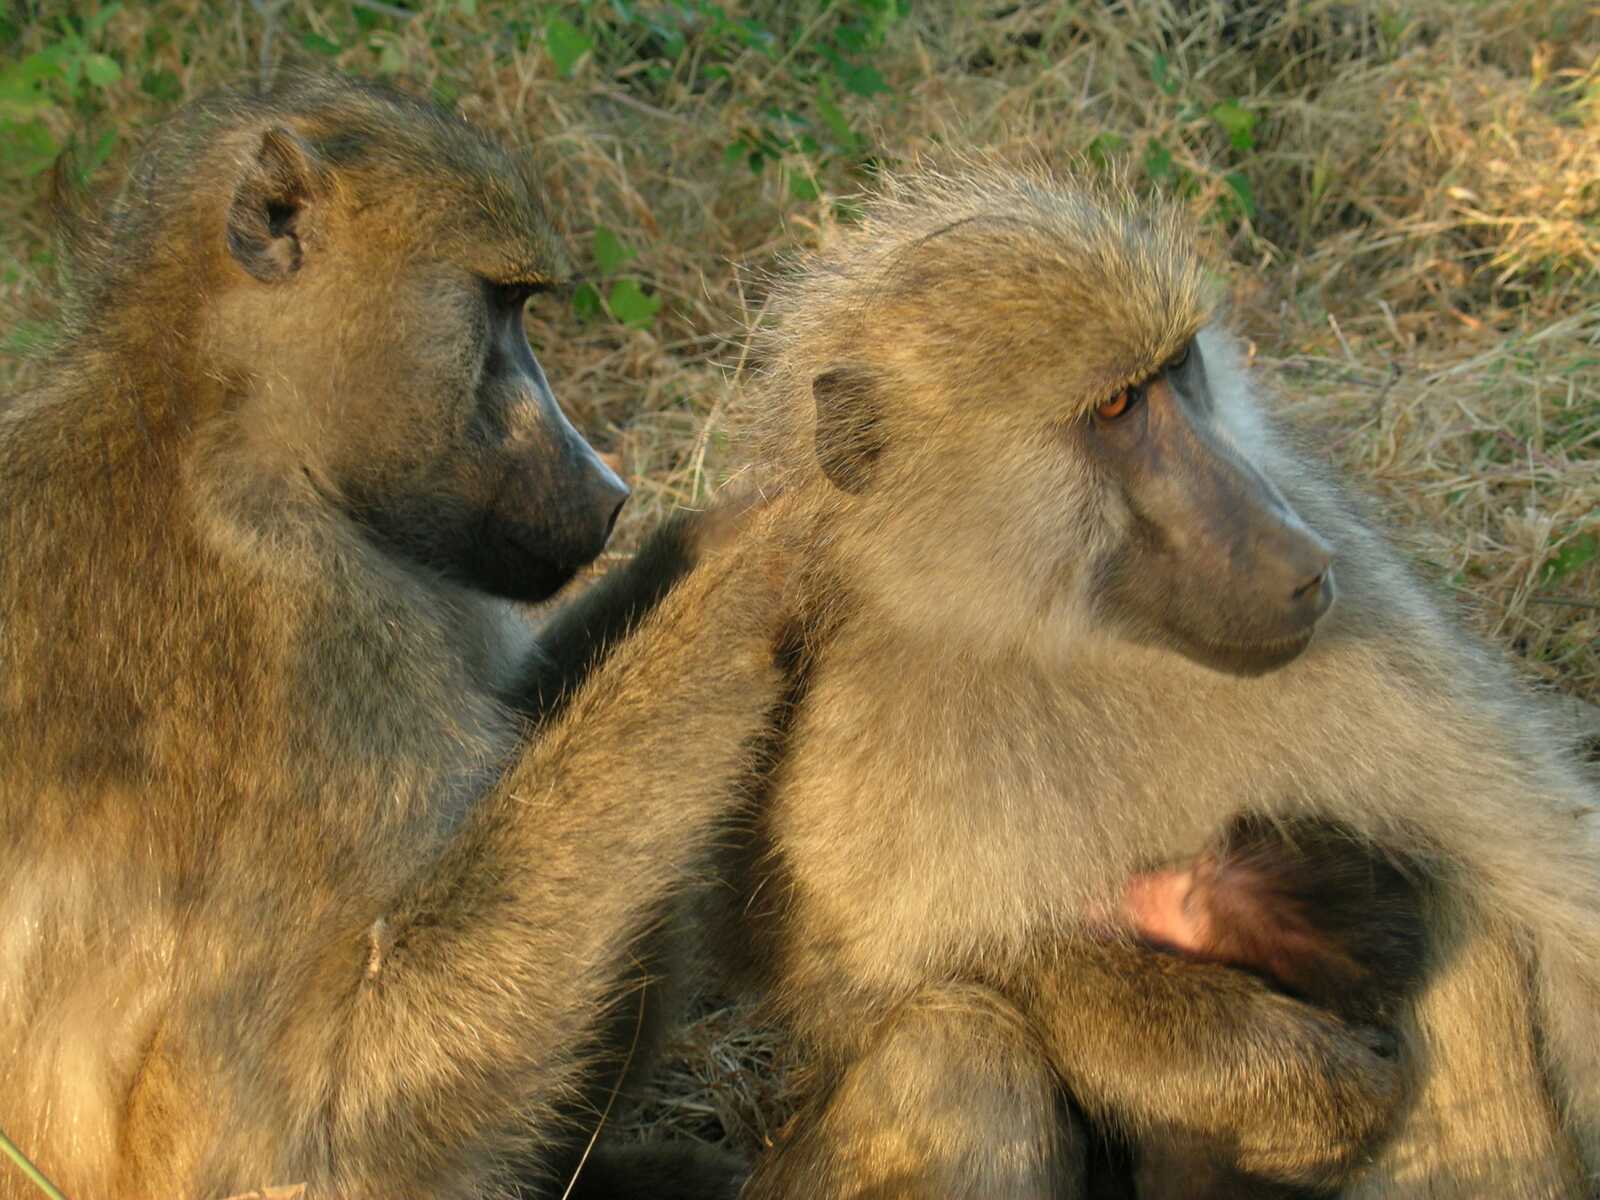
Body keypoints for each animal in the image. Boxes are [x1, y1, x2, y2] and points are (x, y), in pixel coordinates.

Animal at [0, 69, 790, 1200]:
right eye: (499, 306)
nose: (607, 492)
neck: (210, 413)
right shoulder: (313, 648)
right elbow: (306, 1127)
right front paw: (762, 567)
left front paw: (710, 537)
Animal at [689, 165, 1600, 1199]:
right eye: (1118, 410)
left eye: (1180, 371)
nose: (1297, 556)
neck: (1052, 638)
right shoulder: (850, 722)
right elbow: (855, 996)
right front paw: (1284, 1078)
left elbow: (1566, 916)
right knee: (962, 1044)